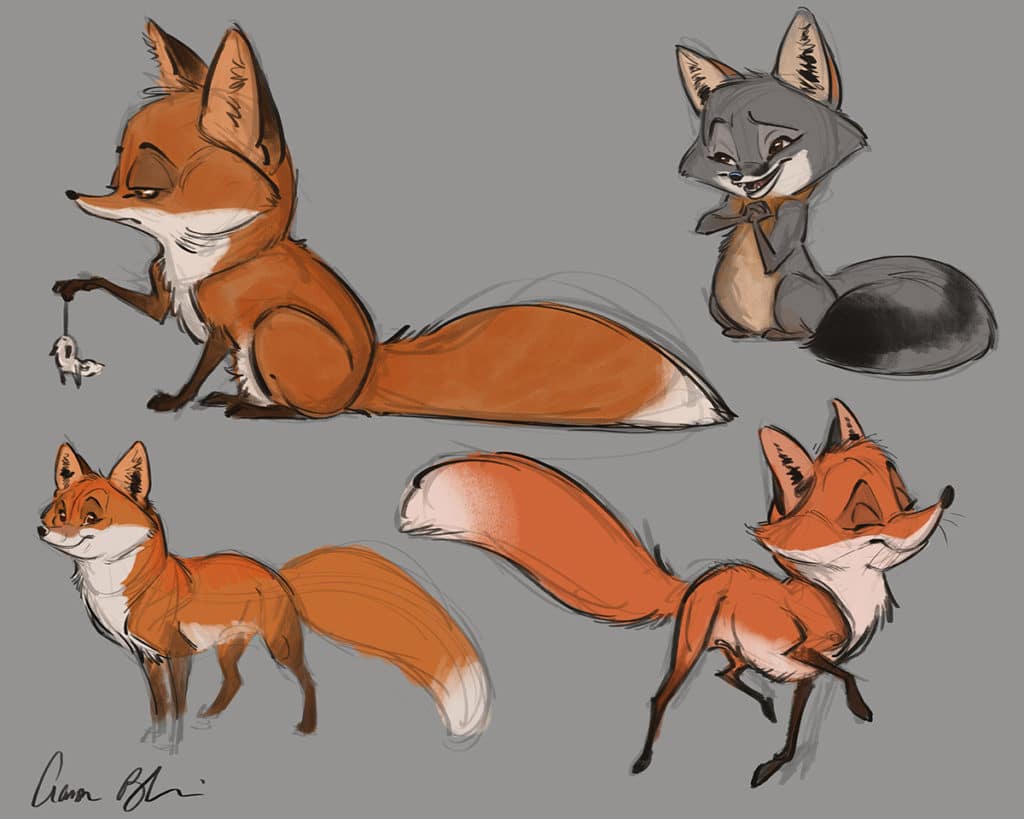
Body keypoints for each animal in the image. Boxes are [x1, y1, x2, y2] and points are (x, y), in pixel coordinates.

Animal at [36, 441, 490, 751]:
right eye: (60, 512)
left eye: (91, 517)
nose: (42, 530)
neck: (124, 591)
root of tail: (276, 571)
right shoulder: (147, 658)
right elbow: (158, 708)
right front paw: (154, 740)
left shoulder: (178, 656)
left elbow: (176, 707)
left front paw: (173, 747)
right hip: (229, 647)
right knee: (236, 681)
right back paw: (212, 717)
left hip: (280, 645)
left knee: (307, 680)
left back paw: (306, 729)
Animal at [52, 21, 730, 429]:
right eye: (113, 173)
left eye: (145, 188)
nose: (70, 195)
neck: (202, 261)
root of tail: (368, 376)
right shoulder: (164, 300)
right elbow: (118, 293)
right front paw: (72, 286)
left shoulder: (226, 326)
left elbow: (193, 371)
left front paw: (174, 401)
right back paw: (240, 400)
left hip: (277, 331)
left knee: (315, 415)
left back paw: (255, 411)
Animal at [398, 399, 954, 786]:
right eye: (862, 511)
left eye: (900, 490)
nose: (944, 500)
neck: (838, 592)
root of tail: (699, 580)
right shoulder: (803, 655)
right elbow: (848, 674)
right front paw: (860, 710)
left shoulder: (802, 674)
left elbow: (799, 732)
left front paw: (773, 763)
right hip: (688, 650)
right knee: (663, 696)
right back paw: (645, 759)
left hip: (729, 649)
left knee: (728, 675)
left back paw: (761, 703)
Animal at [675, 7, 996, 375]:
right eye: (722, 158)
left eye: (778, 144)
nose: (743, 177)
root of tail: (832, 290)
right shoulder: (732, 203)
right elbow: (714, 220)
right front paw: (734, 214)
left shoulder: (793, 215)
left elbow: (775, 251)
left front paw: (756, 213)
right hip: (717, 303)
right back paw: (739, 331)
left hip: (792, 289)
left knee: (804, 331)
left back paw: (780, 334)